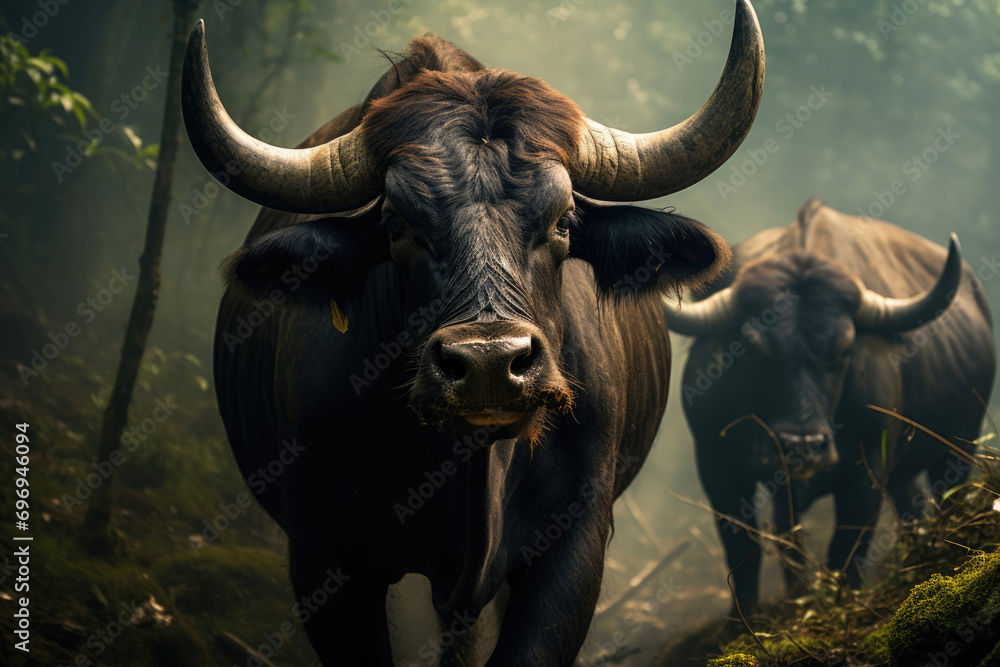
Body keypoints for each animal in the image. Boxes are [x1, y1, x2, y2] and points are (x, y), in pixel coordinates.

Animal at [666, 199, 995, 611]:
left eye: (844, 348)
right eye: (754, 348)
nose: (802, 446)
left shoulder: (867, 468)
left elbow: (846, 550)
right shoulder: (716, 466)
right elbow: (744, 553)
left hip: (959, 445)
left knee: (945, 496)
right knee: (907, 506)